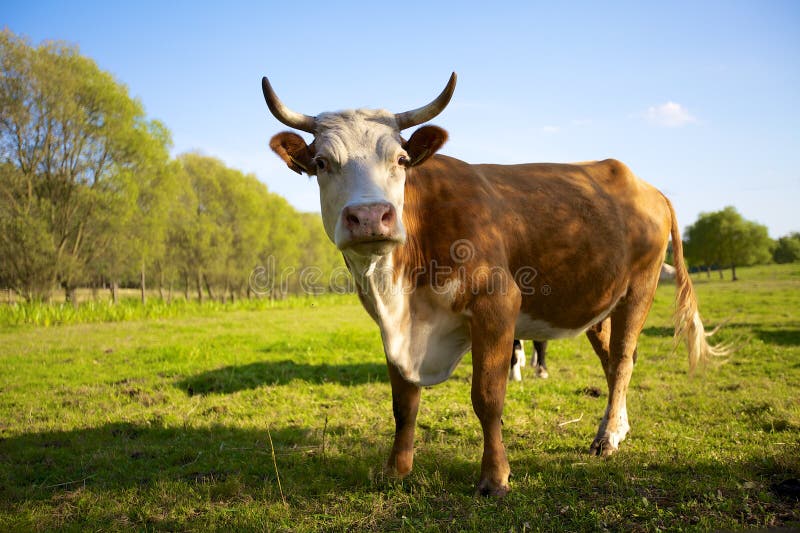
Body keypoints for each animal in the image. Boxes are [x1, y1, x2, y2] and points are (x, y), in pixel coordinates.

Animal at [261, 72, 727, 496]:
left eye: (400, 160)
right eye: (322, 163)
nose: (371, 216)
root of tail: (647, 187)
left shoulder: (497, 304)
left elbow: (487, 397)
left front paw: (495, 477)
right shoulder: (390, 325)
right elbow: (403, 404)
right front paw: (396, 470)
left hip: (641, 287)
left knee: (625, 359)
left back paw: (607, 436)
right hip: (598, 300)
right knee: (613, 362)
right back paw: (619, 426)